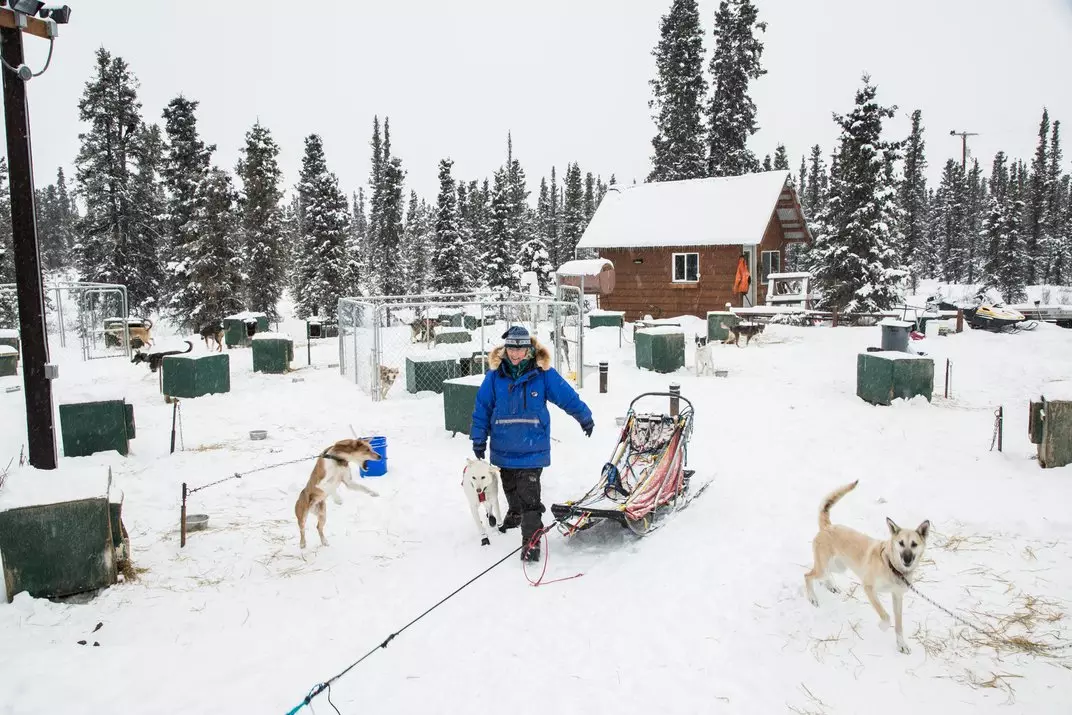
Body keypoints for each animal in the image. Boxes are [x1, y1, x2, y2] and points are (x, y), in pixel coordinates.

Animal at [806, 480, 930, 656]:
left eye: (914, 544)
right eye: (900, 543)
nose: (907, 559)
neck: (891, 566)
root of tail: (828, 527)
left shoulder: (897, 596)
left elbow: (899, 625)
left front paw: (901, 644)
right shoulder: (869, 588)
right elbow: (885, 616)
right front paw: (882, 626)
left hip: (838, 566)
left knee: (823, 574)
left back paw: (830, 585)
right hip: (825, 566)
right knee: (807, 575)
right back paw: (812, 597)